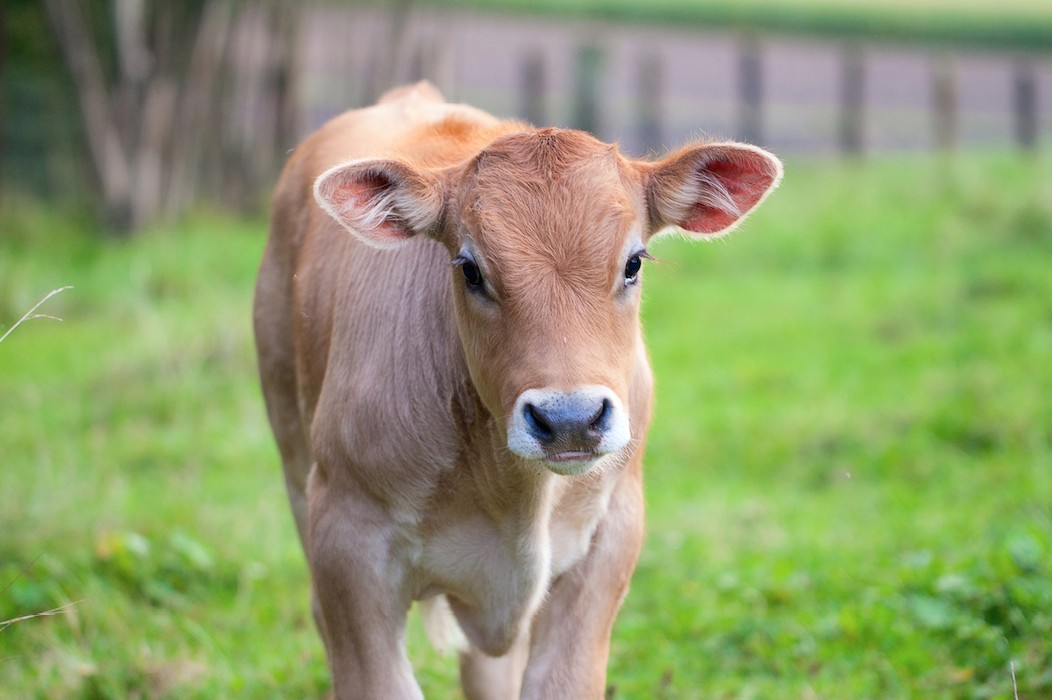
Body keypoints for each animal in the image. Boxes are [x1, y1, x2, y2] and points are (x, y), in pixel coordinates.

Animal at [253, 82, 781, 699]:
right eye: (470, 269)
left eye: (633, 262)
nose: (571, 418)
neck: (513, 493)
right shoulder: (347, 543)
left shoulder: (611, 535)